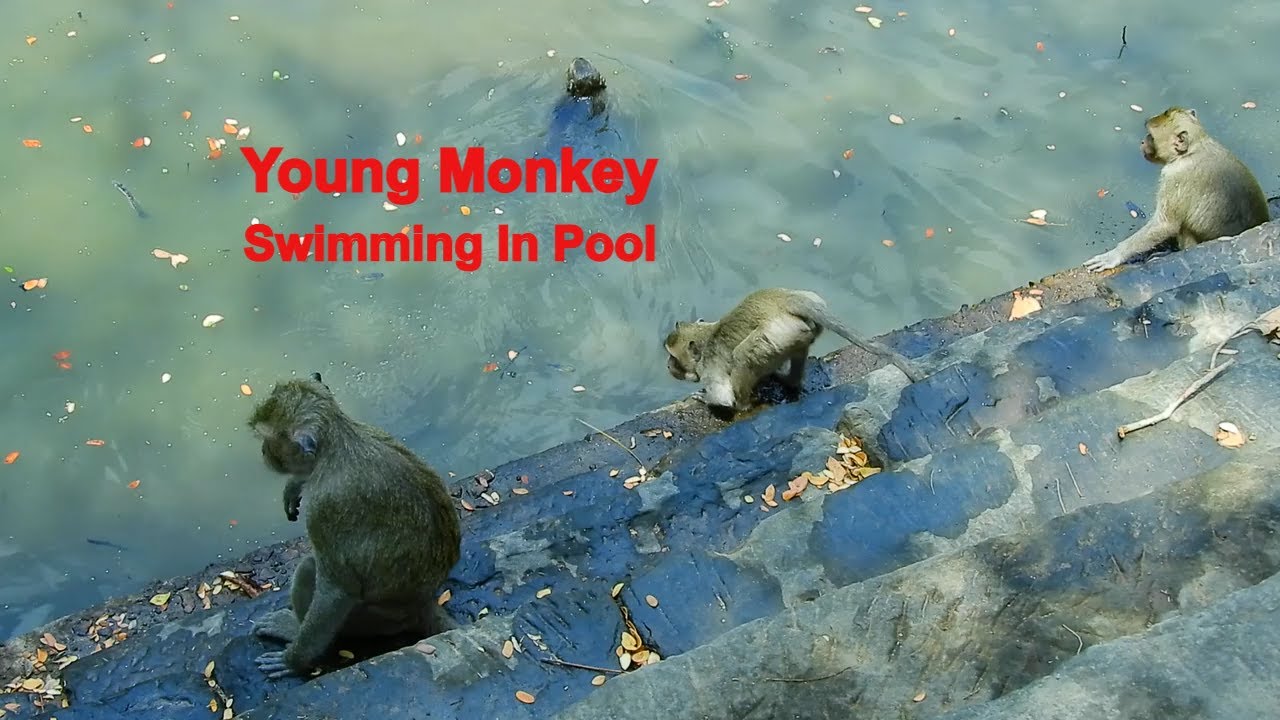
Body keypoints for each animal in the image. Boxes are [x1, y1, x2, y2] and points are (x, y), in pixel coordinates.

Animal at [247, 373, 462, 679]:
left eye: (267, 440)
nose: (264, 452)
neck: (338, 443)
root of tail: (422, 605)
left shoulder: (326, 508)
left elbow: (336, 592)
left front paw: (293, 661)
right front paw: (294, 485)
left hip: (370, 621)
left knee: (310, 569)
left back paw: (293, 630)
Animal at [664, 288, 926, 417]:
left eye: (673, 357)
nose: (668, 365)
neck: (707, 335)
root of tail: (789, 300)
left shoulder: (709, 365)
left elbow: (721, 396)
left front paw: (709, 401)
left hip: (775, 333)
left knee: (742, 356)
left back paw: (743, 406)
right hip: (796, 329)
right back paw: (789, 380)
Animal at [1084, 107, 1270, 273]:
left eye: (1151, 136)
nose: (1142, 142)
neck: (1193, 150)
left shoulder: (1174, 177)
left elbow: (1165, 224)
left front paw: (1115, 254)